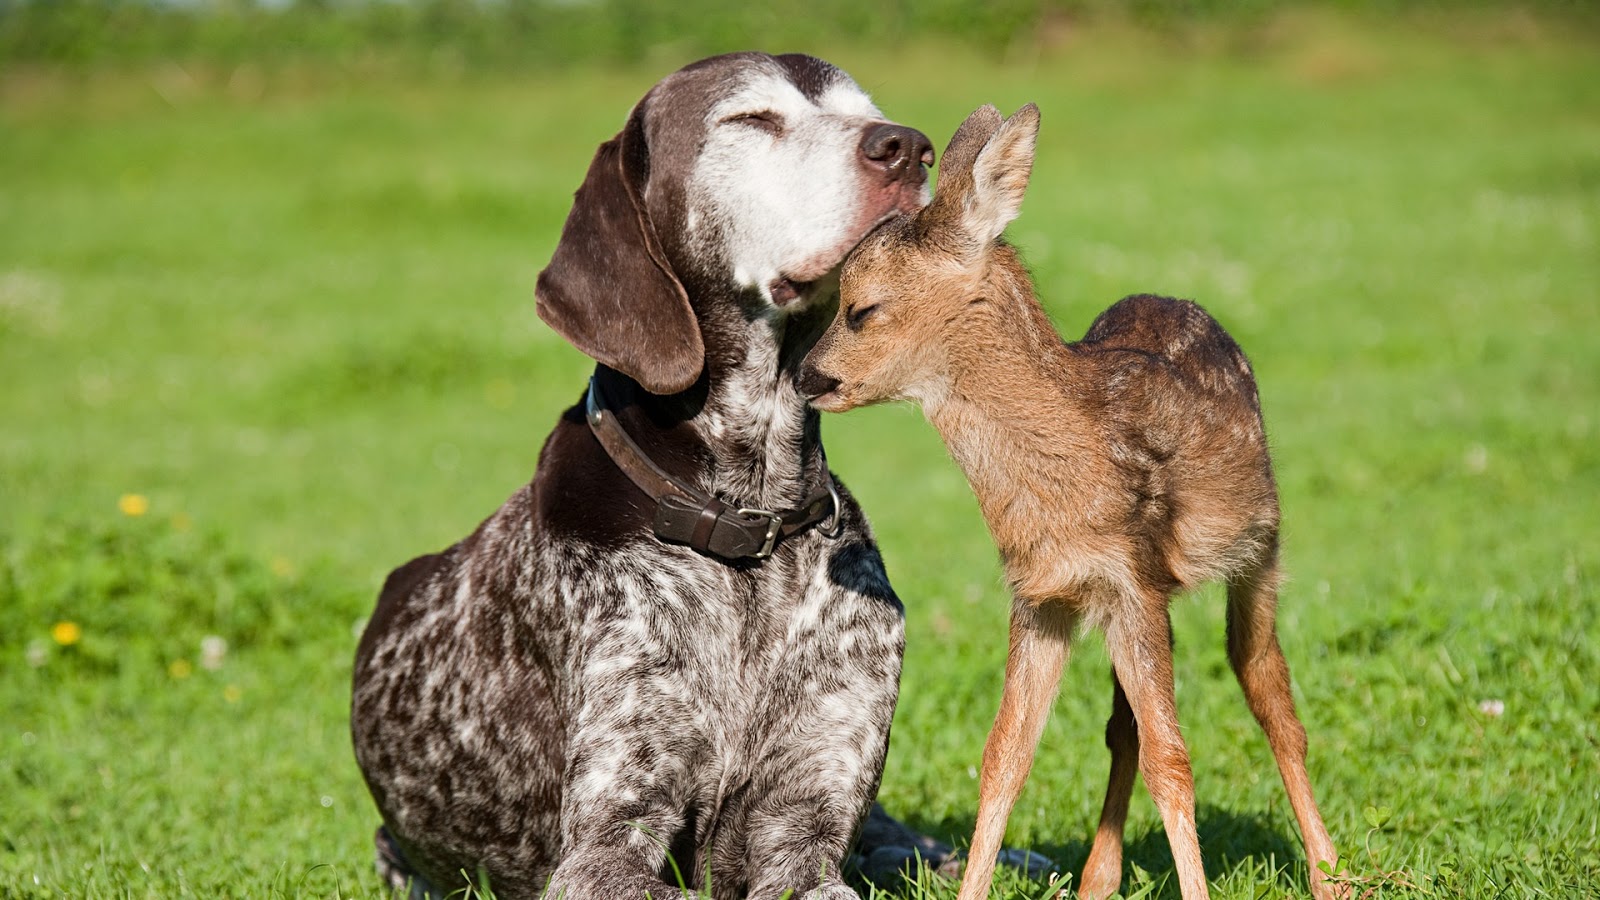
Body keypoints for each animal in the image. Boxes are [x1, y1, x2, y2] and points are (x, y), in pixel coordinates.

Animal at [797, 103, 1342, 900]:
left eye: (860, 308)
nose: (808, 376)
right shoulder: (1043, 594)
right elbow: (1006, 755)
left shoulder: (1132, 577)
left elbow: (1174, 759)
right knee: (1125, 727)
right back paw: (1098, 878)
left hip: (1259, 546)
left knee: (1267, 687)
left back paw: (1330, 870)